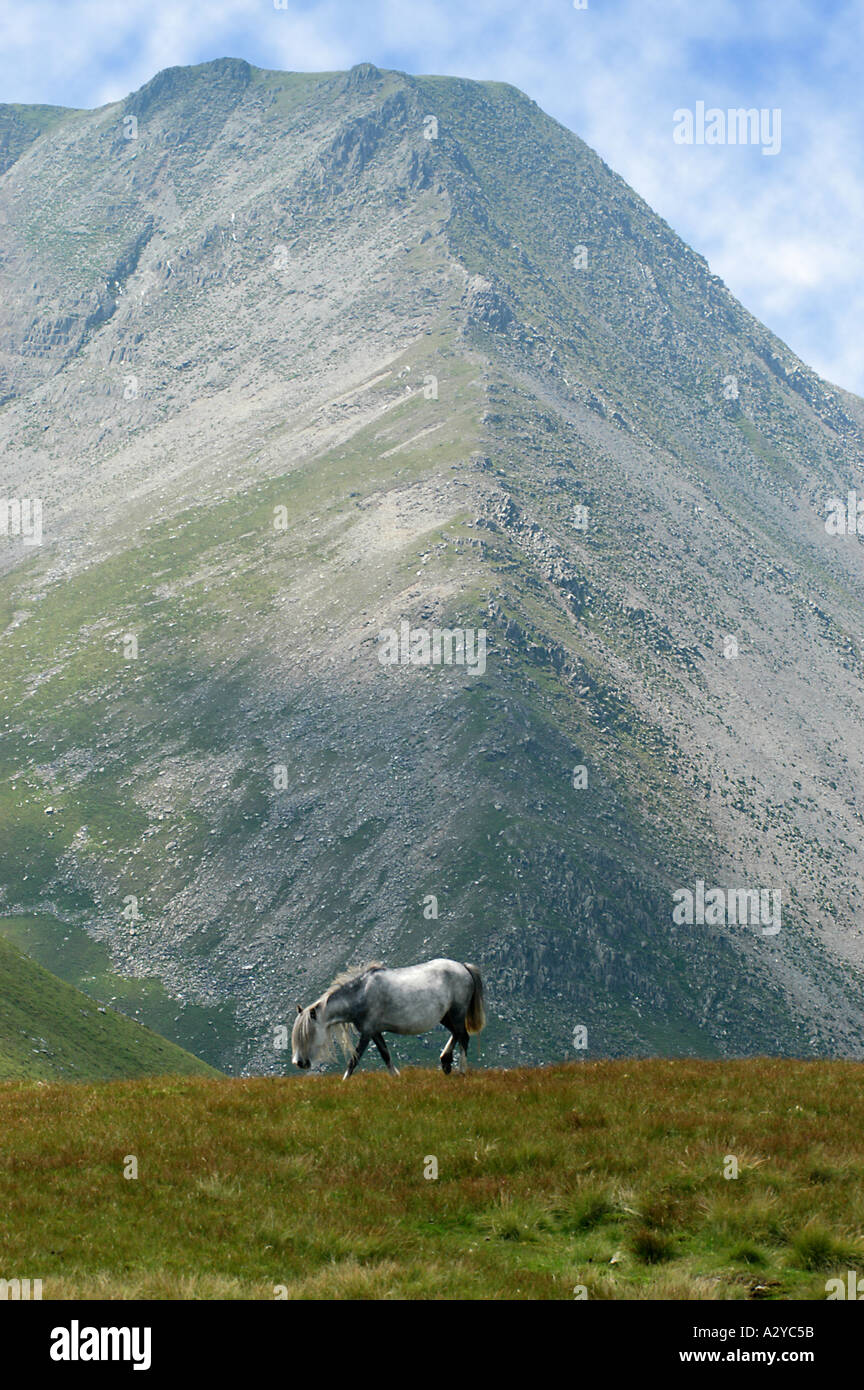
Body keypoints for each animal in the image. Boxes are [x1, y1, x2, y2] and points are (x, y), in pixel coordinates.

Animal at [291, 958, 486, 1079]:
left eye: (307, 1034)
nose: (298, 1062)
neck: (361, 995)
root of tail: (464, 967)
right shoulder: (375, 1032)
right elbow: (385, 1055)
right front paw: (396, 1077)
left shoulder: (367, 1032)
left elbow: (354, 1060)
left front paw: (344, 1081)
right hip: (445, 1016)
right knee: (456, 1034)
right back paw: (445, 1061)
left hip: (457, 1012)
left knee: (463, 1037)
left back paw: (461, 1070)